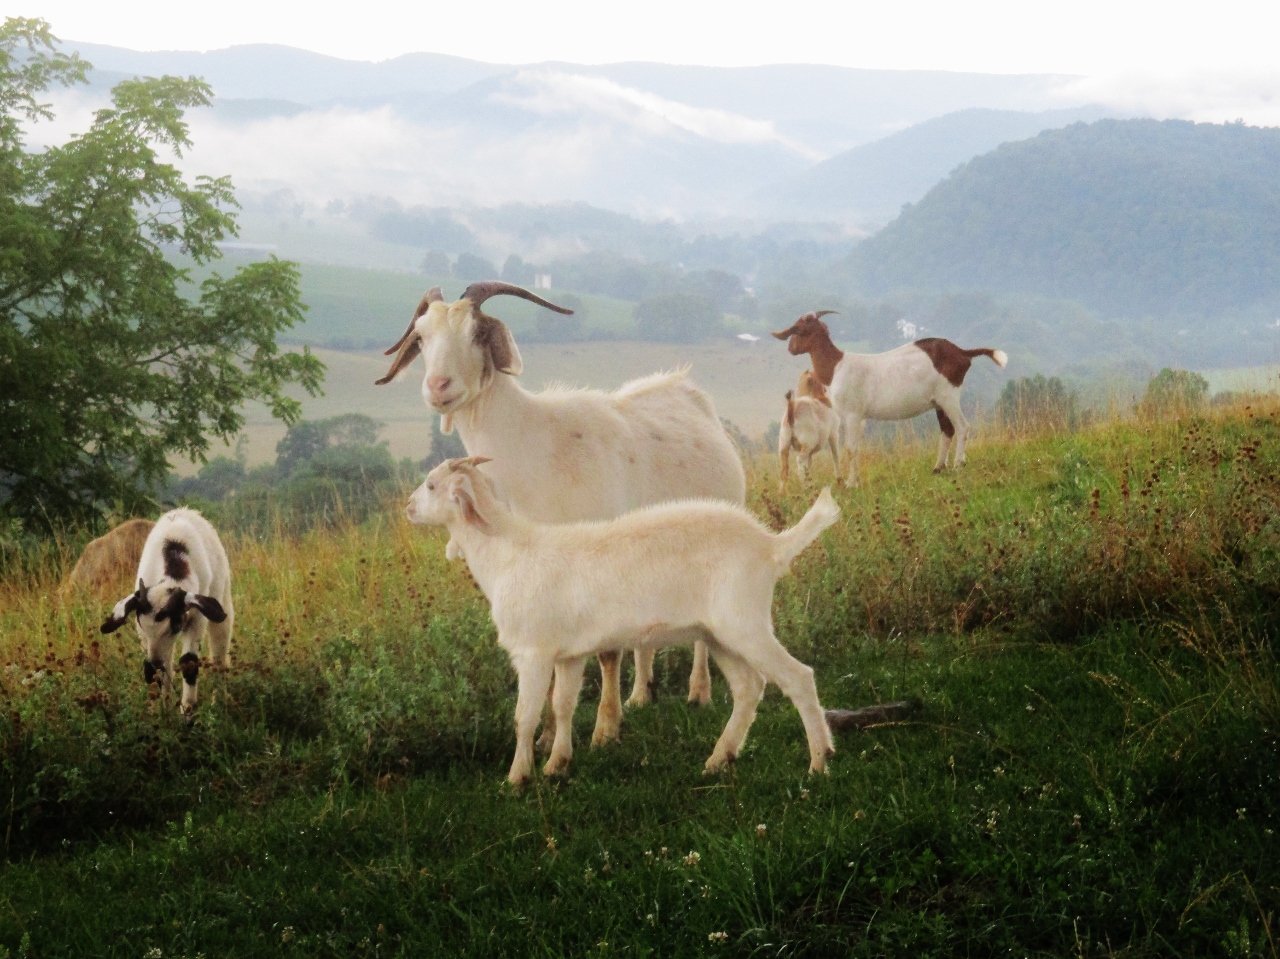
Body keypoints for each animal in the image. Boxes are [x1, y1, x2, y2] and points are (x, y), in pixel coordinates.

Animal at [100, 508, 233, 717]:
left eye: (177, 625)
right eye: (141, 625)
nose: (153, 663)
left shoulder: (196, 617)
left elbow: (189, 663)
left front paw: (188, 713)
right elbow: (162, 673)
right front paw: (158, 714)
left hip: (222, 599)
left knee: (218, 655)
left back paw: (217, 703)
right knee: (168, 667)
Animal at [377, 282, 747, 749]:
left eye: (477, 333)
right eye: (422, 338)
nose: (438, 386)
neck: (534, 449)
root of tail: (683, 385)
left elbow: (605, 651)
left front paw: (605, 729)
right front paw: (548, 735)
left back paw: (698, 692)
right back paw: (642, 693)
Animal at [406, 457, 837, 784]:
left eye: (431, 485)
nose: (407, 508)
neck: (506, 552)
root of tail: (770, 545)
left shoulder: (533, 652)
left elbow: (524, 716)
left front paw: (517, 777)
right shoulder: (568, 654)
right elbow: (563, 706)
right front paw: (557, 765)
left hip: (745, 622)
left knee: (798, 678)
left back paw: (818, 762)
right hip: (720, 634)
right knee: (750, 687)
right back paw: (719, 759)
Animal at [773, 311, 1007, 485]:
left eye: (799, 328)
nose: (790, 348)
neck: (836, 366)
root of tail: (962, 353)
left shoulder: (852, 415)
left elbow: (850, 448)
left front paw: (851, 483)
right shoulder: (856, 418)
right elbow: (853, 448)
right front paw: (855, 480)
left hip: (948, 395)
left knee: (962, 427)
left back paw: (958, 464)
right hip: (938, 403)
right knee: (947, 430)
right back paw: (938, 468)